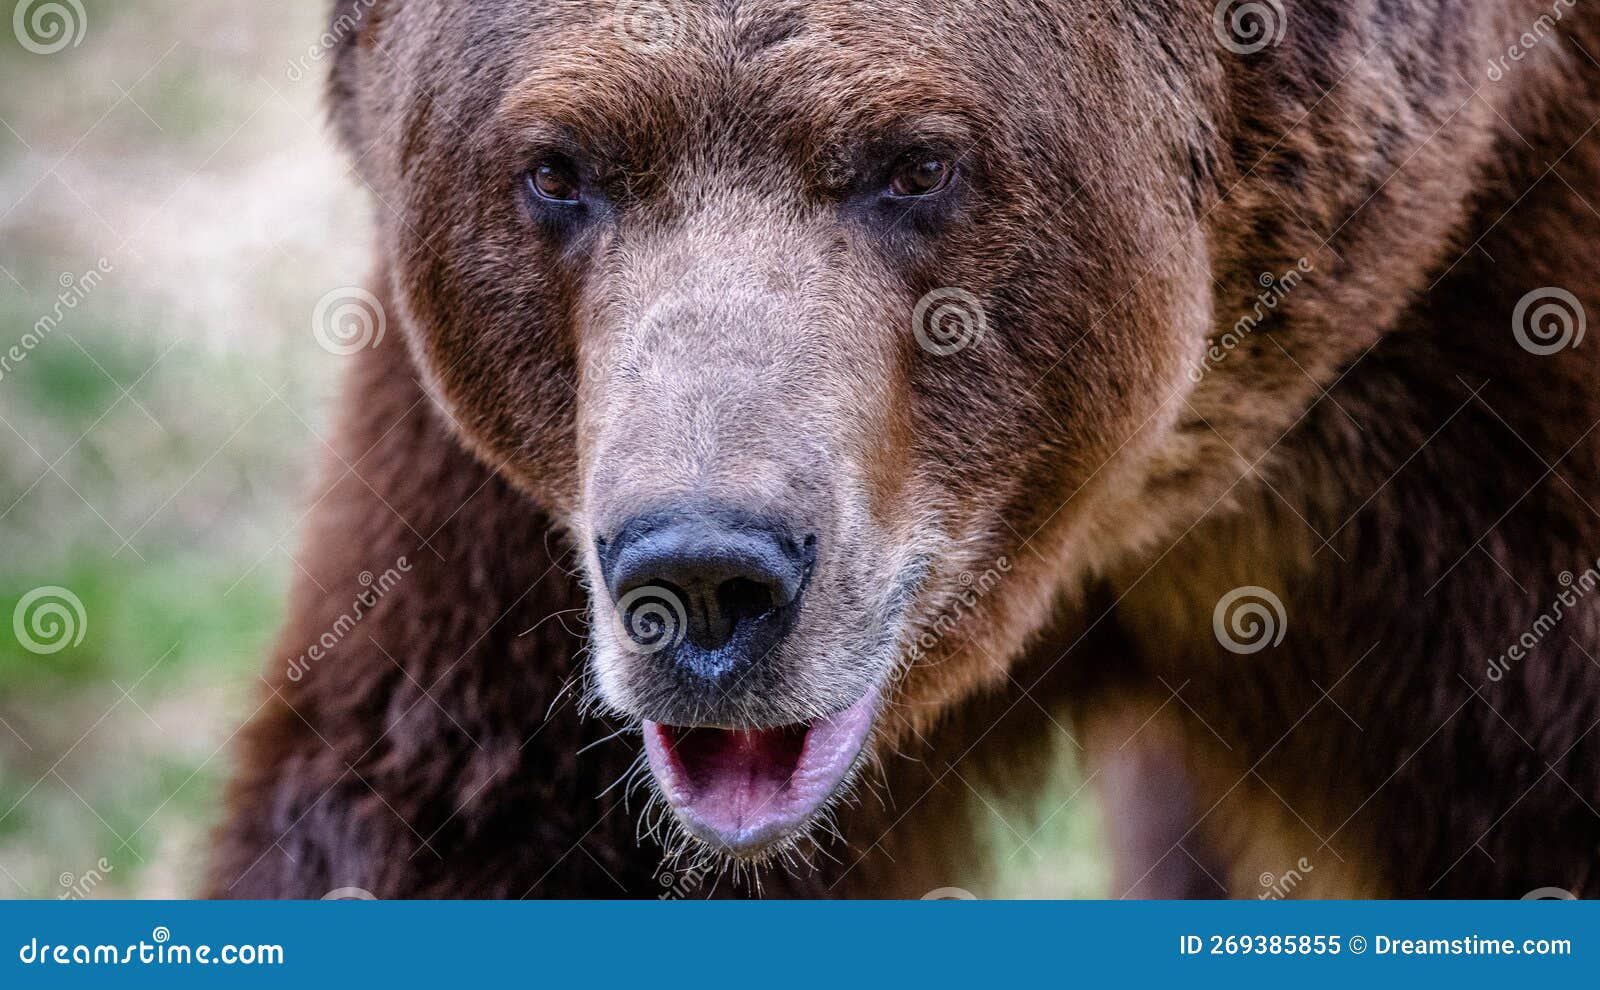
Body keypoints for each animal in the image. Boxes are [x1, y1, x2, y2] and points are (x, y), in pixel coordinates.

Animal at [212, 0, 1600, 898]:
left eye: (917, 163)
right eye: (556, 169)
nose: (702, 582)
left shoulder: (1476, 391)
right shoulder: (501, 509)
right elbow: (437, 812)